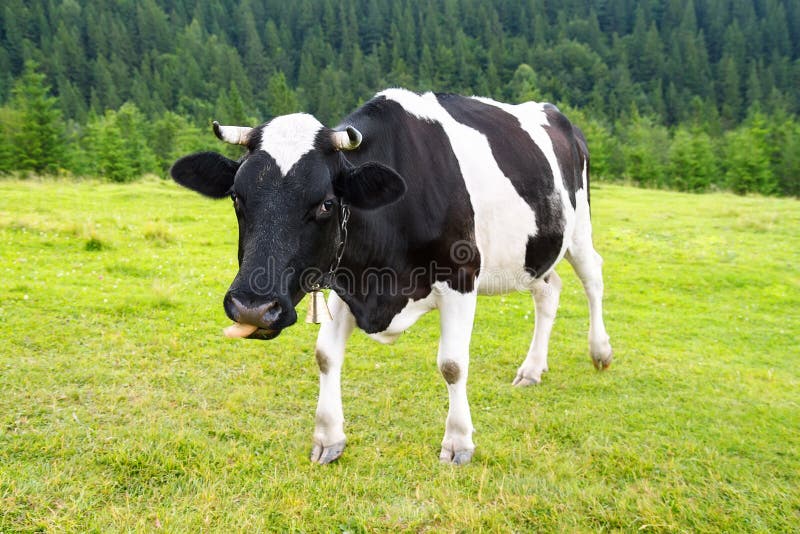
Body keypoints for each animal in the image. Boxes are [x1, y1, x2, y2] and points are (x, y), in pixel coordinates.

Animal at [170, 89, 612, 465]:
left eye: (326, 204)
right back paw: (532, 369)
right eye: (236, 197)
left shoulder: (461, 274)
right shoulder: (345, 277)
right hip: (535, 250)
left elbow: (452, 364)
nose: (252, 307)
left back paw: (600, 352)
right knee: (548, 290)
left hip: (579, 228)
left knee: (593, 277)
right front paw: (328, 438)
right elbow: (326, 354)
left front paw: (458, 442)